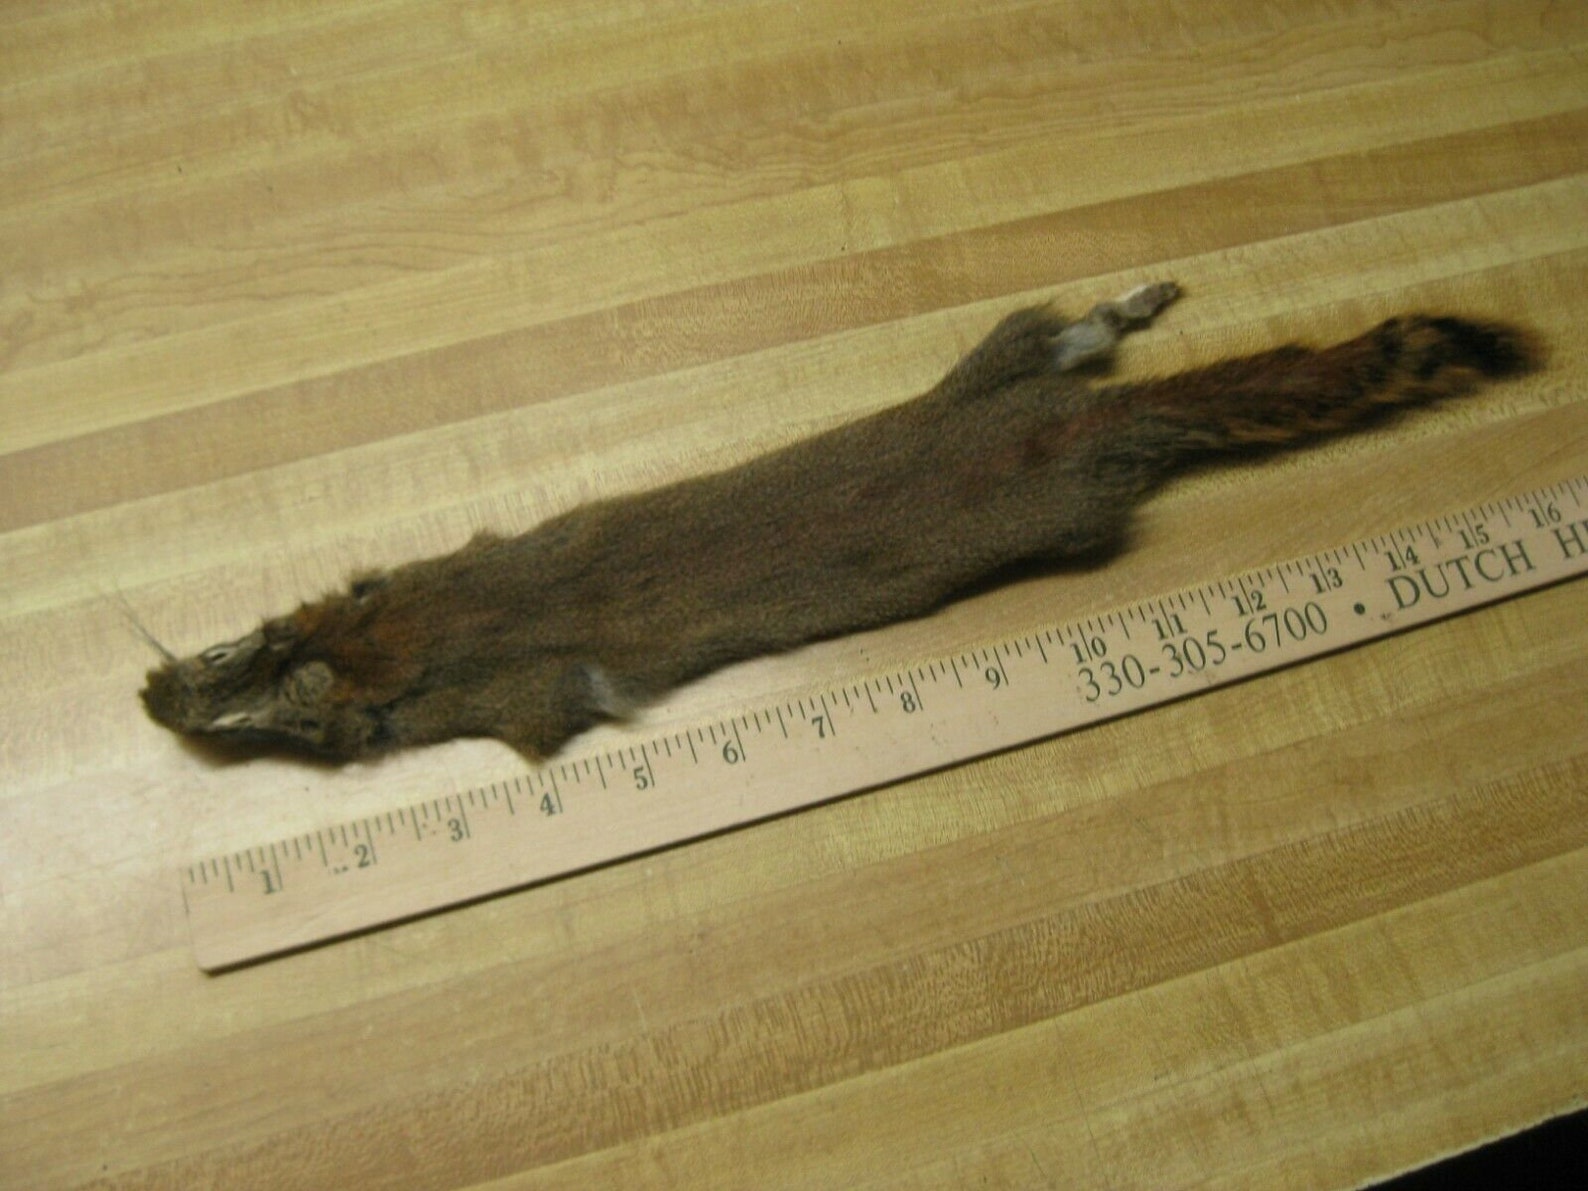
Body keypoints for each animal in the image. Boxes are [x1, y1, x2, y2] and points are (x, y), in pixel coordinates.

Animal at [140, 282, 1536, 761]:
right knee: (1055, 331)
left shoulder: (510, 690)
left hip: (1059, 503)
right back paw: (1132, 299)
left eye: (258, 707)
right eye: (220, 644)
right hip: (991, 371)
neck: (410, 637)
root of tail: (1089, 431)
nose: (148, 698)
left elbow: (560, 705)